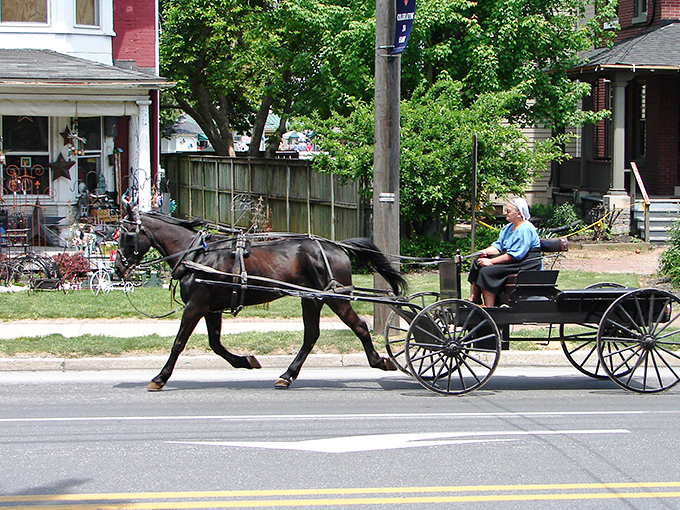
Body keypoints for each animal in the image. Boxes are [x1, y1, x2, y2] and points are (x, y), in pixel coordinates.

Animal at [114, 207, 407, 391]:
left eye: (125, 235)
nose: (118, 268)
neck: (196, 254)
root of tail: (338, 246)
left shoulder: (196, 305)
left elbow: (178, 343)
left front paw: (160, 378)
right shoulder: (211, 309)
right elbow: (215, 344)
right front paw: (245, 361)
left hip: (336, 298)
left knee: (359, 327)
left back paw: (379, 361)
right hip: (312, 299)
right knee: (311, 336)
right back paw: (287, 375)